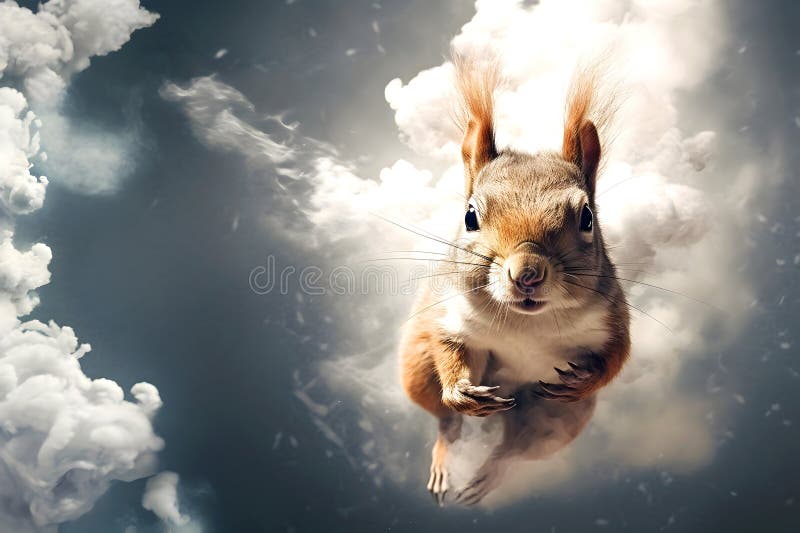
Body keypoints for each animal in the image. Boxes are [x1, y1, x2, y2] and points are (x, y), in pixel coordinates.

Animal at [399, 55, 631, 506]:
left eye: (587, 217)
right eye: (470, 216)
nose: (527, 273)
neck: (526, 322)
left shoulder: (612, 317)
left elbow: (618, 355)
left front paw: (587, 377)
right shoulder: (449, 316)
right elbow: (447, 349)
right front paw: (460, 391)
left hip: (559, 416)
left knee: (515, 448)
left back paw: (487, 476)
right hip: (416, 370)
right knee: (446, 423)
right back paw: (445, 457)